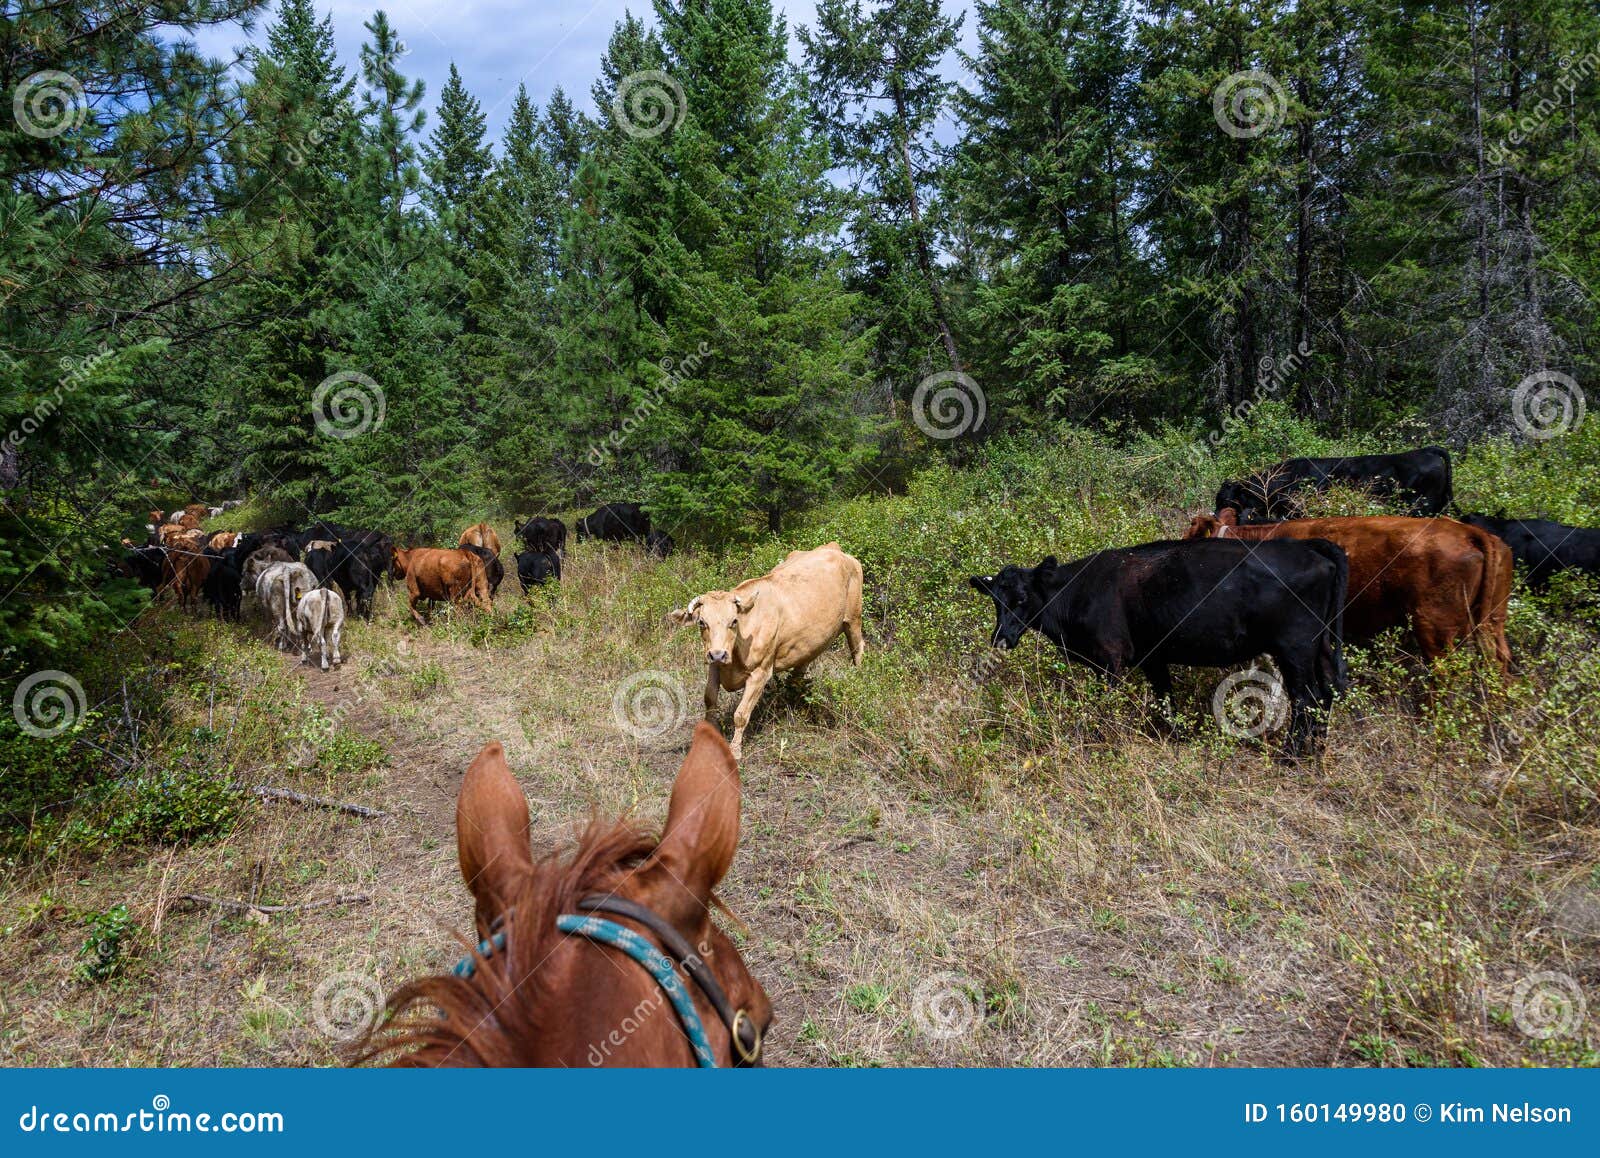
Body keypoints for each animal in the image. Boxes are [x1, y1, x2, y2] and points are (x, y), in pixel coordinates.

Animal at [668, 543, 865, 760]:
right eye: (702, 622)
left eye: (734, 621)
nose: (719, 654)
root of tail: (834, 547)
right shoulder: (714, 665)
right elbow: (709, 700)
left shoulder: (760, 672)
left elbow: (741, 714)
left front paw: (735, 750)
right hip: (808, 643)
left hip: (853, 619)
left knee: (858, 649)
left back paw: (857, 681)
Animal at [969, 538, 1350, 755]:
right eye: (994, 601)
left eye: (1021, 598)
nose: (1000, 637)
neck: (1077, 592)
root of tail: (1312, 548)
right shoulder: (1152, 657)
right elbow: (1167, 701)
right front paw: (1178, 739)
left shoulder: (1110, 658)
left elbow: (1103, 707)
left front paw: (1099, 742)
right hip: (1320, 646)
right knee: (1328, 692)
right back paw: (1317, 751)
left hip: (1295, 647)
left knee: (1307, 698)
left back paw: (1292, 754)